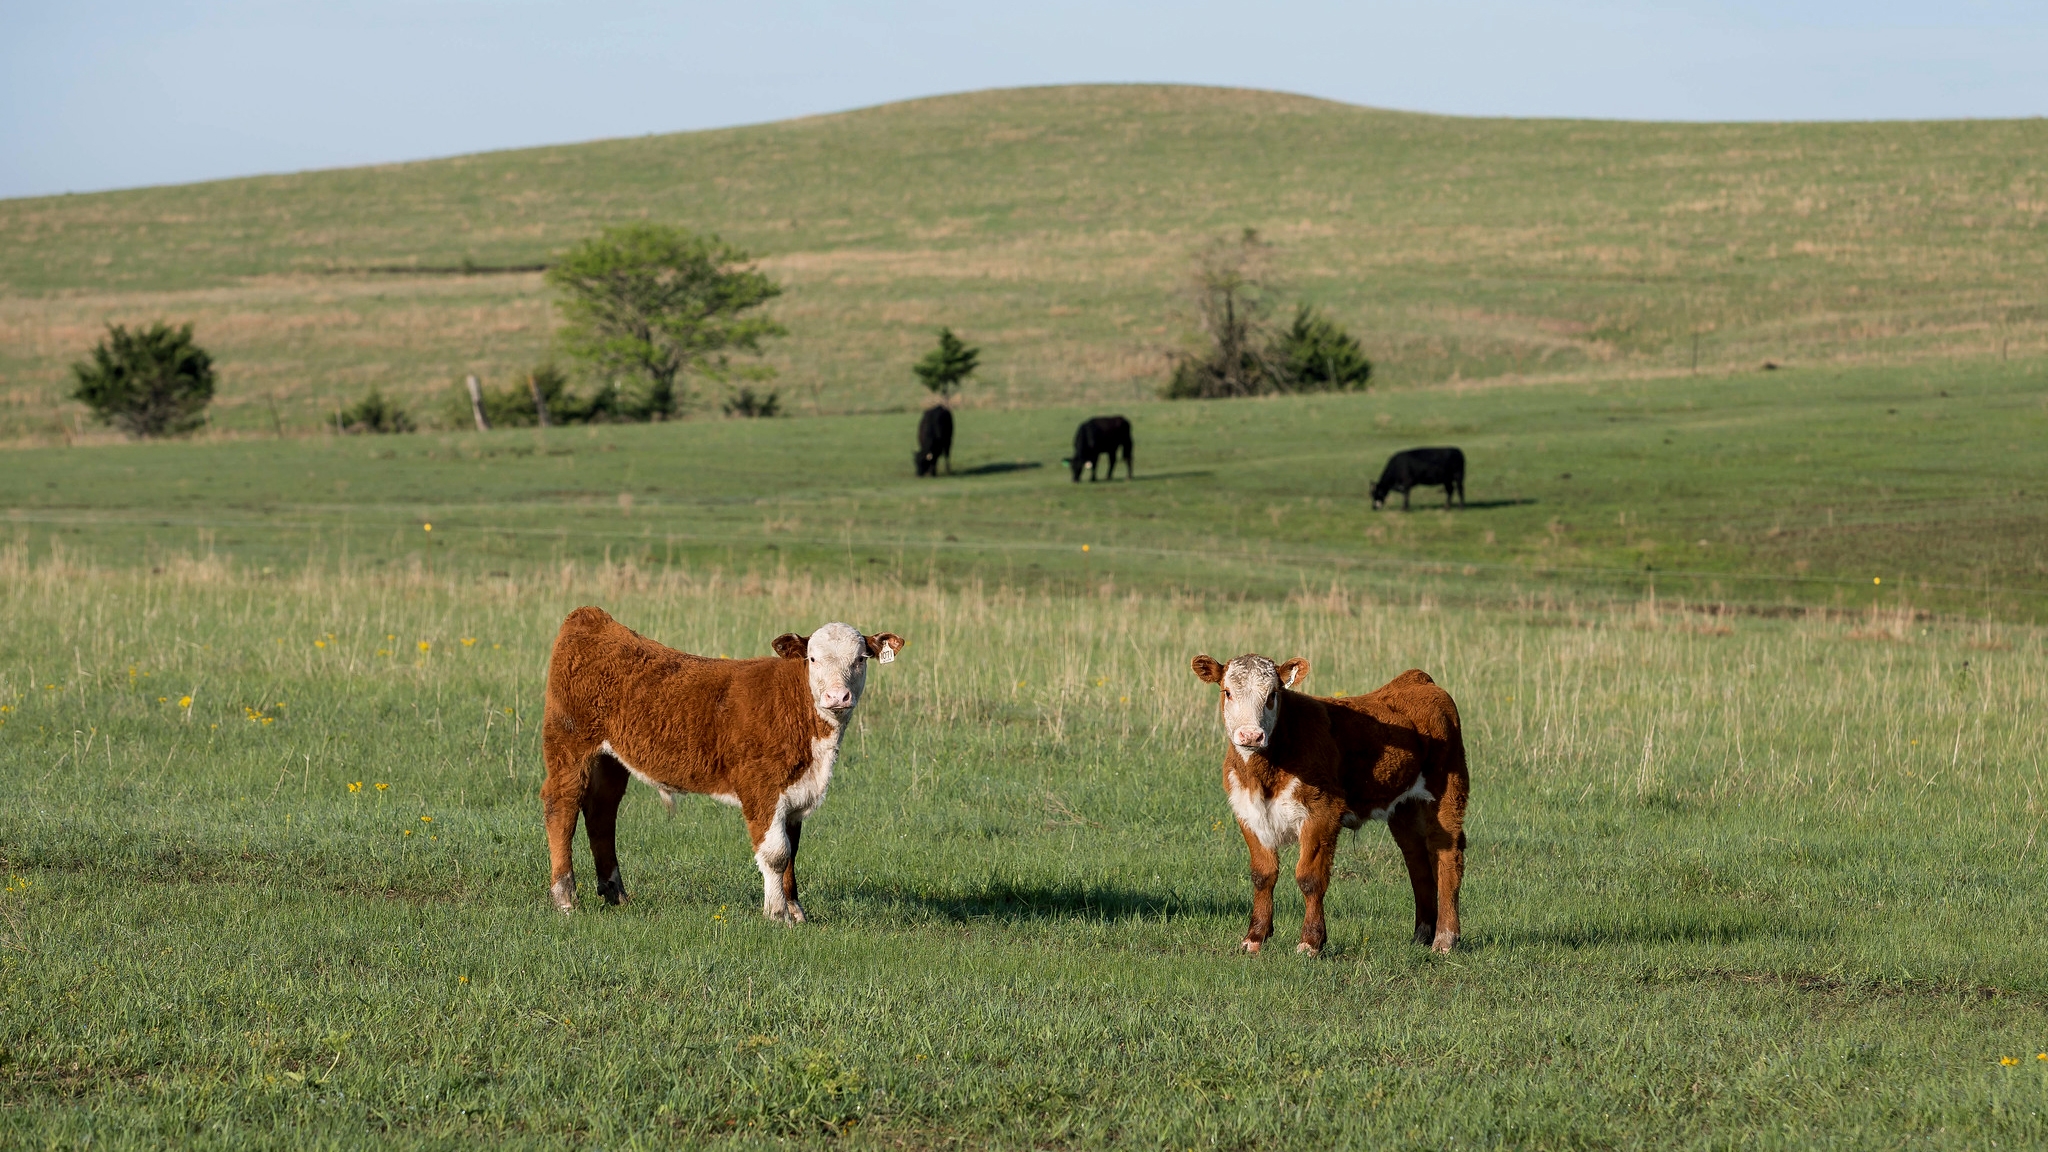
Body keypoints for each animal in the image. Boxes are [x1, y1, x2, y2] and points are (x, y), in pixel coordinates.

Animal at [541, 607, 906, 920]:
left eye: (860, 659)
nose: (837, 697)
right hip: (569, 746)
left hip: (610, 759)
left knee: (602, 812)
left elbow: (793, 851)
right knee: (562, 807)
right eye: (813, 659)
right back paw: (565, 897)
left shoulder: (795, 793)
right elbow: (776, 853)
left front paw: (796, 911)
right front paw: (777, 914)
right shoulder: (761, 788)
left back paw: (615, 893)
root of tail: (591, 617)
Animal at [1189, 654, 1469, 955]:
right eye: (1227, 692)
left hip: (1447, 792)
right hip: (1404, 807)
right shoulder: (1248, 813)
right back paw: (1422, 934)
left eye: (1273, 694)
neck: (1265, 774)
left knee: (1447, 856)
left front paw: (1311, 942)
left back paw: (1445, 938)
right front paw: (1254, 938)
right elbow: (1263, 875)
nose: (1251, 735)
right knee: (1417, 861)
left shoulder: (1322, 813)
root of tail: (1418, 680)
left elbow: (1310, 878)